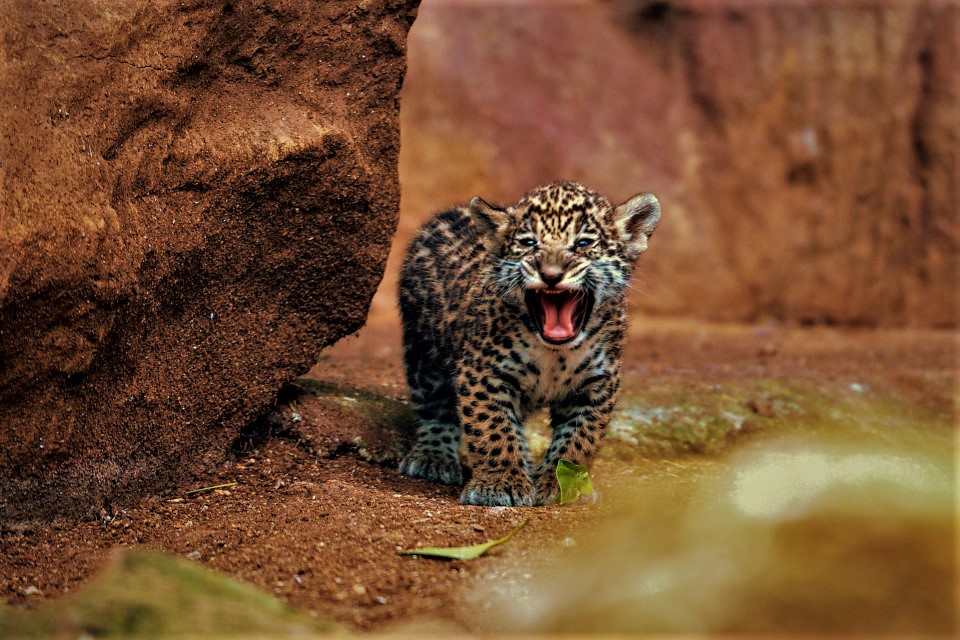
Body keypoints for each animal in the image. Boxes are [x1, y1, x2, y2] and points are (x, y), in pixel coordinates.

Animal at [398, 180, 660, 506]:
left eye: (583, 243)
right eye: (529, 243)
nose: (551, 275)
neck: (555, 355)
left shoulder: (598, 384)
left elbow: (580, 438)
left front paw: (563, 484)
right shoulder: (483, 374)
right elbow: (492, 428)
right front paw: (500, 484)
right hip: (424, 349)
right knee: (434, 405)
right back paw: (434, 457)